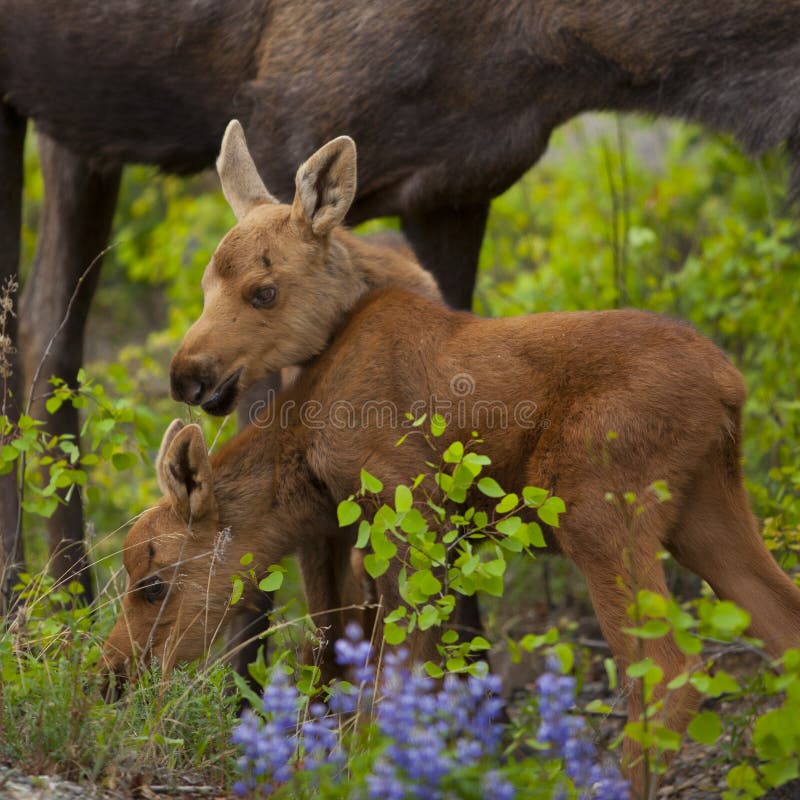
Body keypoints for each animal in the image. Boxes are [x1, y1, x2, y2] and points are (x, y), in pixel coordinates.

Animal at [3, 1, 800, 606]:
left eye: (265, 290)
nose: (186, 377)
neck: (569, 50)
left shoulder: (457, 186)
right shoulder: (290, 113)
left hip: (79, 133)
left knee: (48, 320)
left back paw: (62, 598)